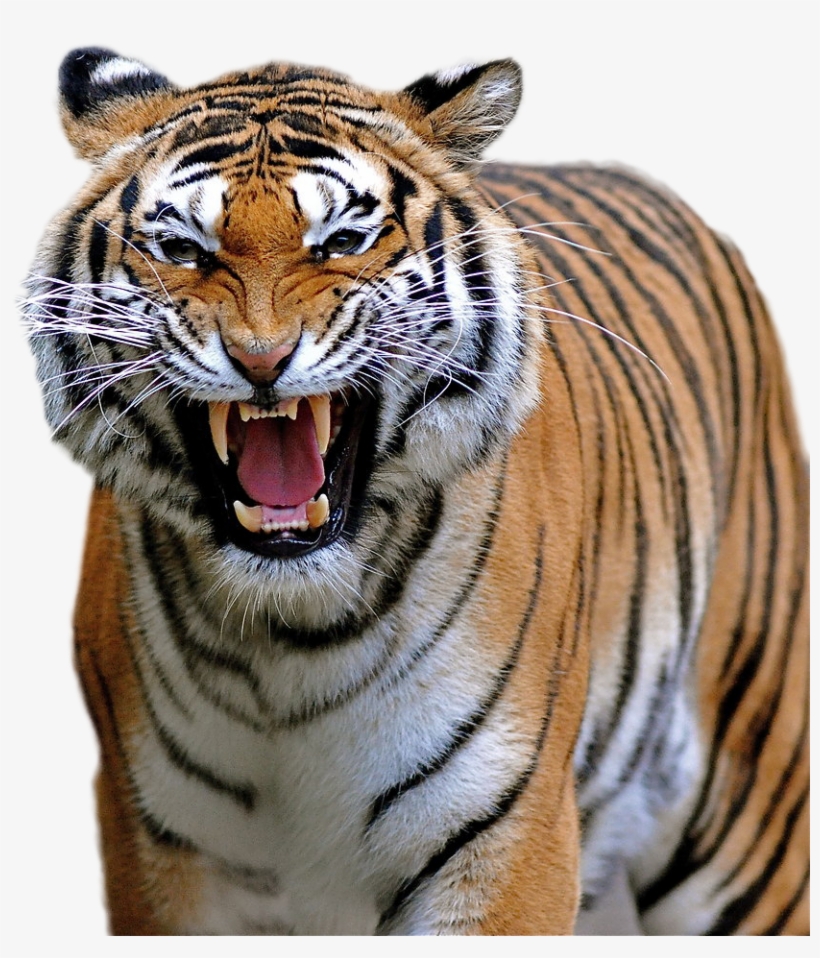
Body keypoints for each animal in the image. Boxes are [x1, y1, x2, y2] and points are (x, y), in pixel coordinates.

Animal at [22, 47, 808, 936]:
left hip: (747, 804)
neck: (290, 636)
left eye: (341, 241)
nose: (261, 358)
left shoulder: (503, 835)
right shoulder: (159, 845)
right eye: (184, 249)